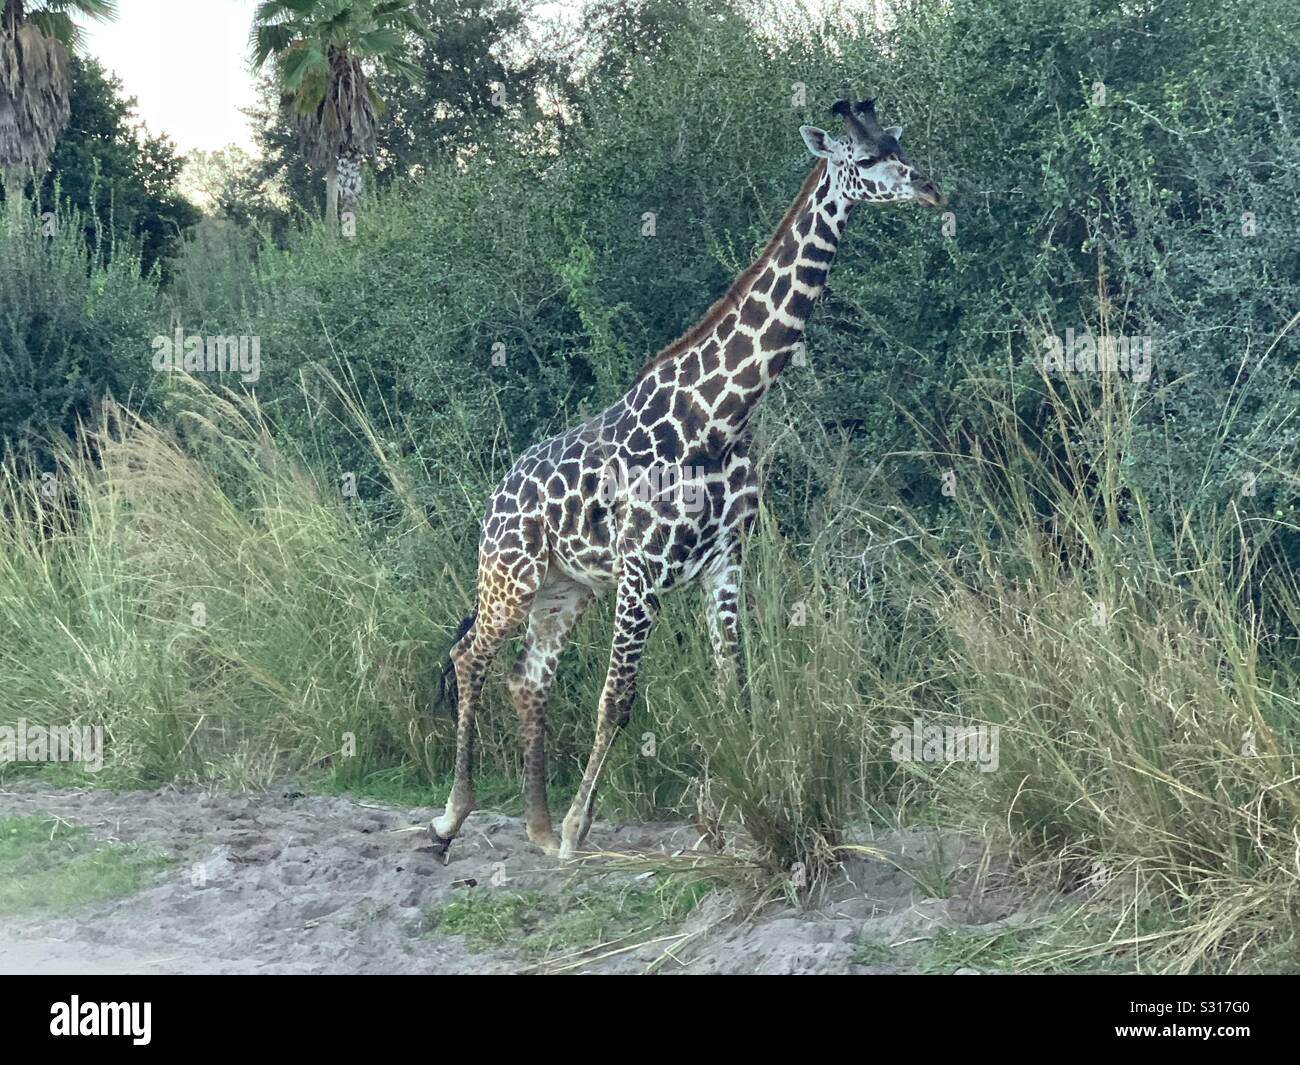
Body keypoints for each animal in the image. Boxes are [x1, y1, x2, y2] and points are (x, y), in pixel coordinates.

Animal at [431, 99, 945, 861]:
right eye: (863, 159)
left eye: (898, 145)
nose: (930, 189)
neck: (719, 416)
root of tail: (496, 496)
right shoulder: (641, 570)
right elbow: (617, 700)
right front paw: (582, 829)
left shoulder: (726, 560)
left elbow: (736, 686)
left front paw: (749, 814)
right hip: (509, 576)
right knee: (470, 656)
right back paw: (452, 820)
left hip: (566, 590)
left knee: (528, 678)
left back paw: (537, 827)